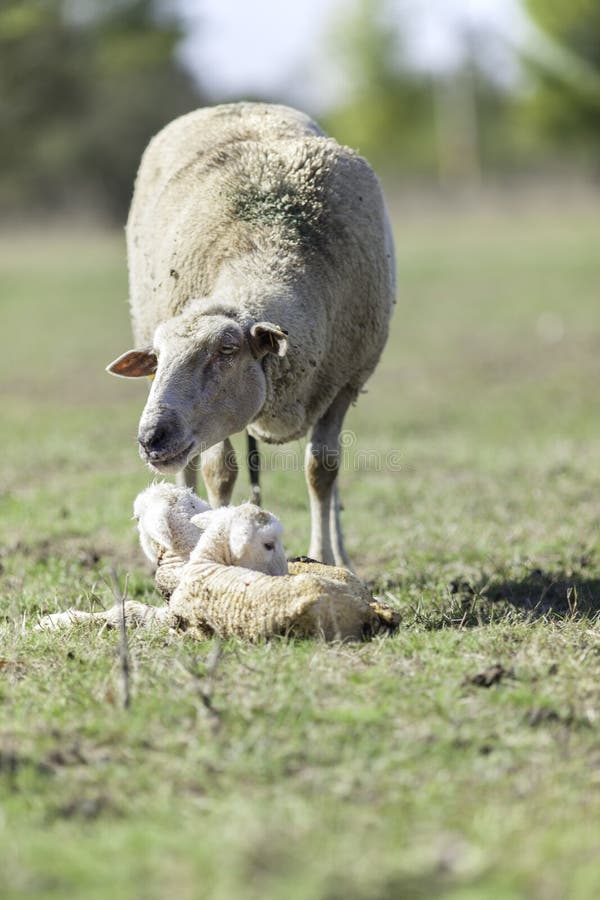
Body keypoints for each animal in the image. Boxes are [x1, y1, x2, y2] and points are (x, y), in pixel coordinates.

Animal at [106, 101, 396, 568]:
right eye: (157, 357)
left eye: (227, 349)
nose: (150, 438)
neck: (268, 246)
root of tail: (234, 104)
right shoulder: (216, 420)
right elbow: (218, 473)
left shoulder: (344, 382)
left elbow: (323, 470)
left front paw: (324, 556)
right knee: (188, 470)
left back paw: (343, 556)